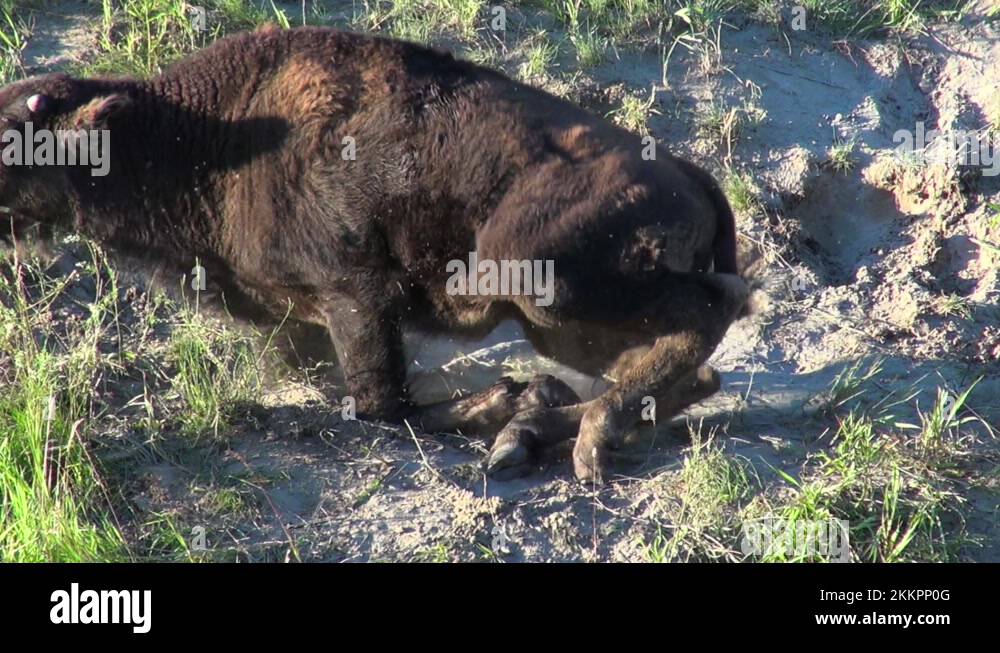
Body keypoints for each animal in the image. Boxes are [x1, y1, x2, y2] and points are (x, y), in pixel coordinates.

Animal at [0, 25, 748, 484]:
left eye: (18, 133)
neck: (209, 134)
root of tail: (691, 174)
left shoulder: (354, 296)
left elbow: (380, 400)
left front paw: (501, 399)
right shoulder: (291, 317)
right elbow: (355, 390)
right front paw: (513, 403)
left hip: (536, 276)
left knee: (711, 312)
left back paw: (577, 435)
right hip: (558, 321)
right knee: (691, 371)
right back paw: (536, 433)